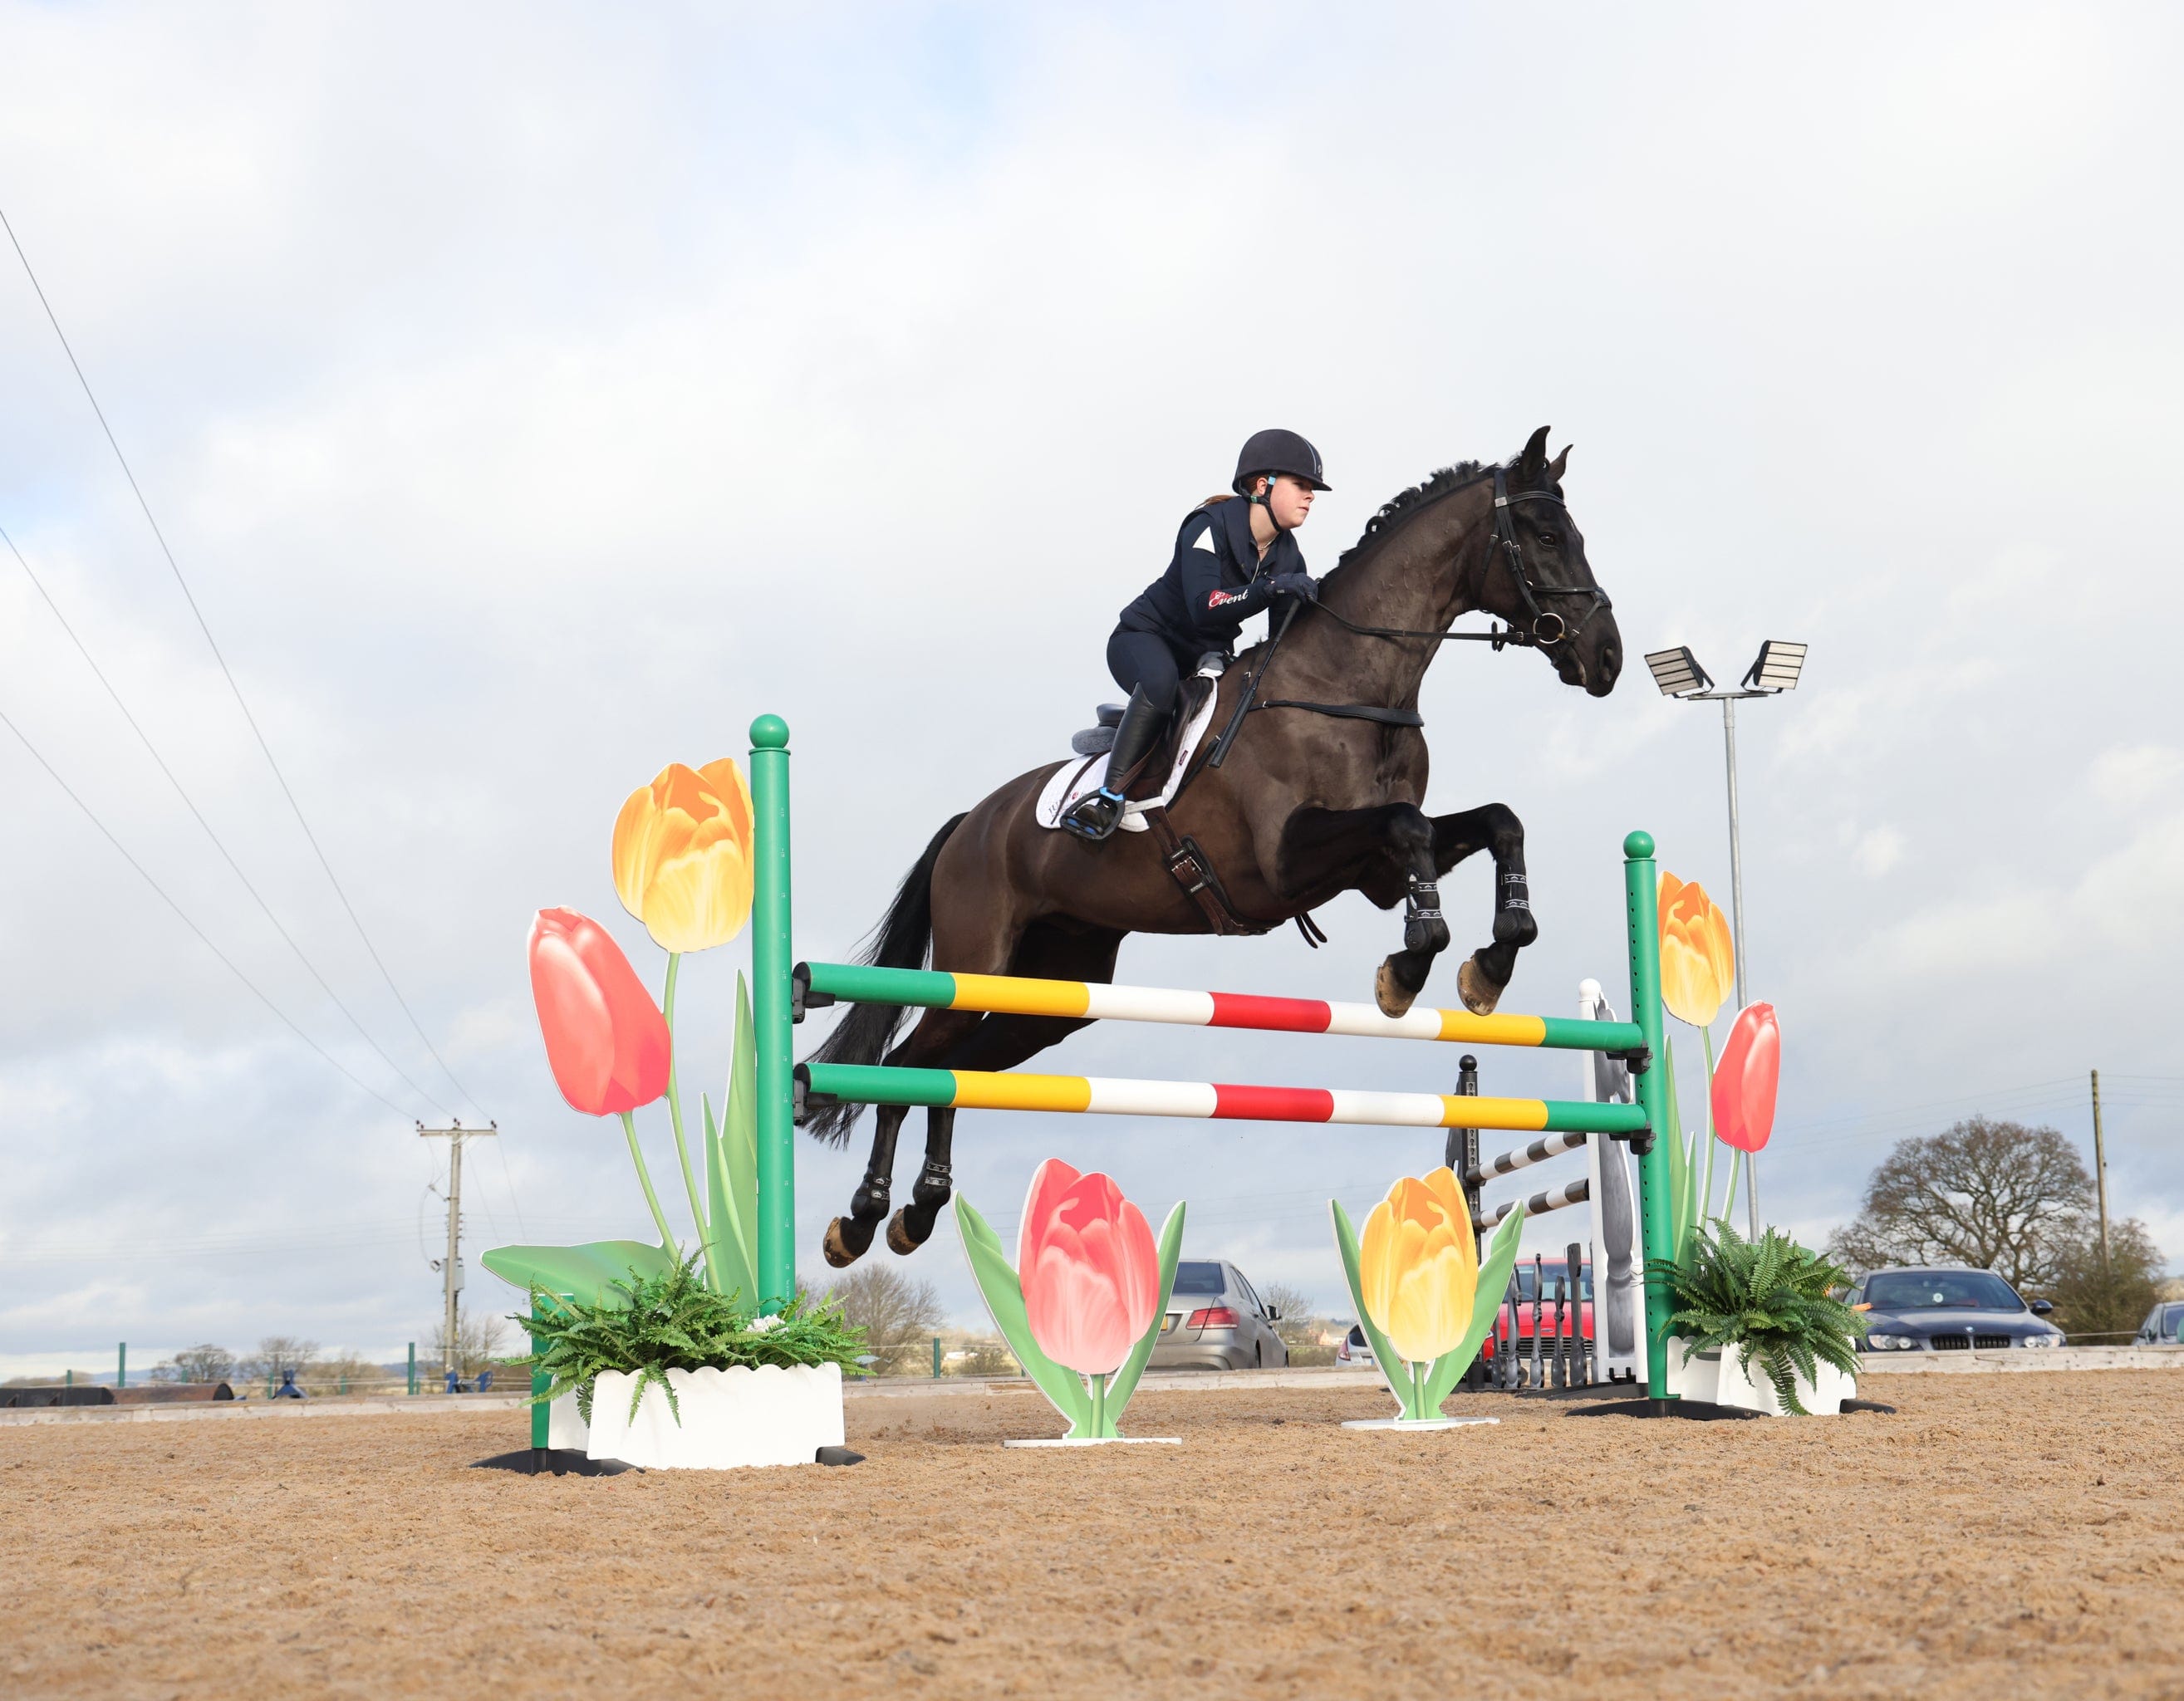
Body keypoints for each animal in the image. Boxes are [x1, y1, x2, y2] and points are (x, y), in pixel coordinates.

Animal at [805, 427, 1622, 1266]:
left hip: (1052, 991)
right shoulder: (1285, 865)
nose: (1606, 659)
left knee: (952, 1070)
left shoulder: (1369, 873)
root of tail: (971, 821)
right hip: (980, 963)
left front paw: (1490, 962)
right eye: (1547, 537)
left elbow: (1494, 821)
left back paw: (920, 1209)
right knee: (906, 1070)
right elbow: (1409, 827)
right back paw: (864, 1218)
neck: (1348, 688)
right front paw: (1410, 964)